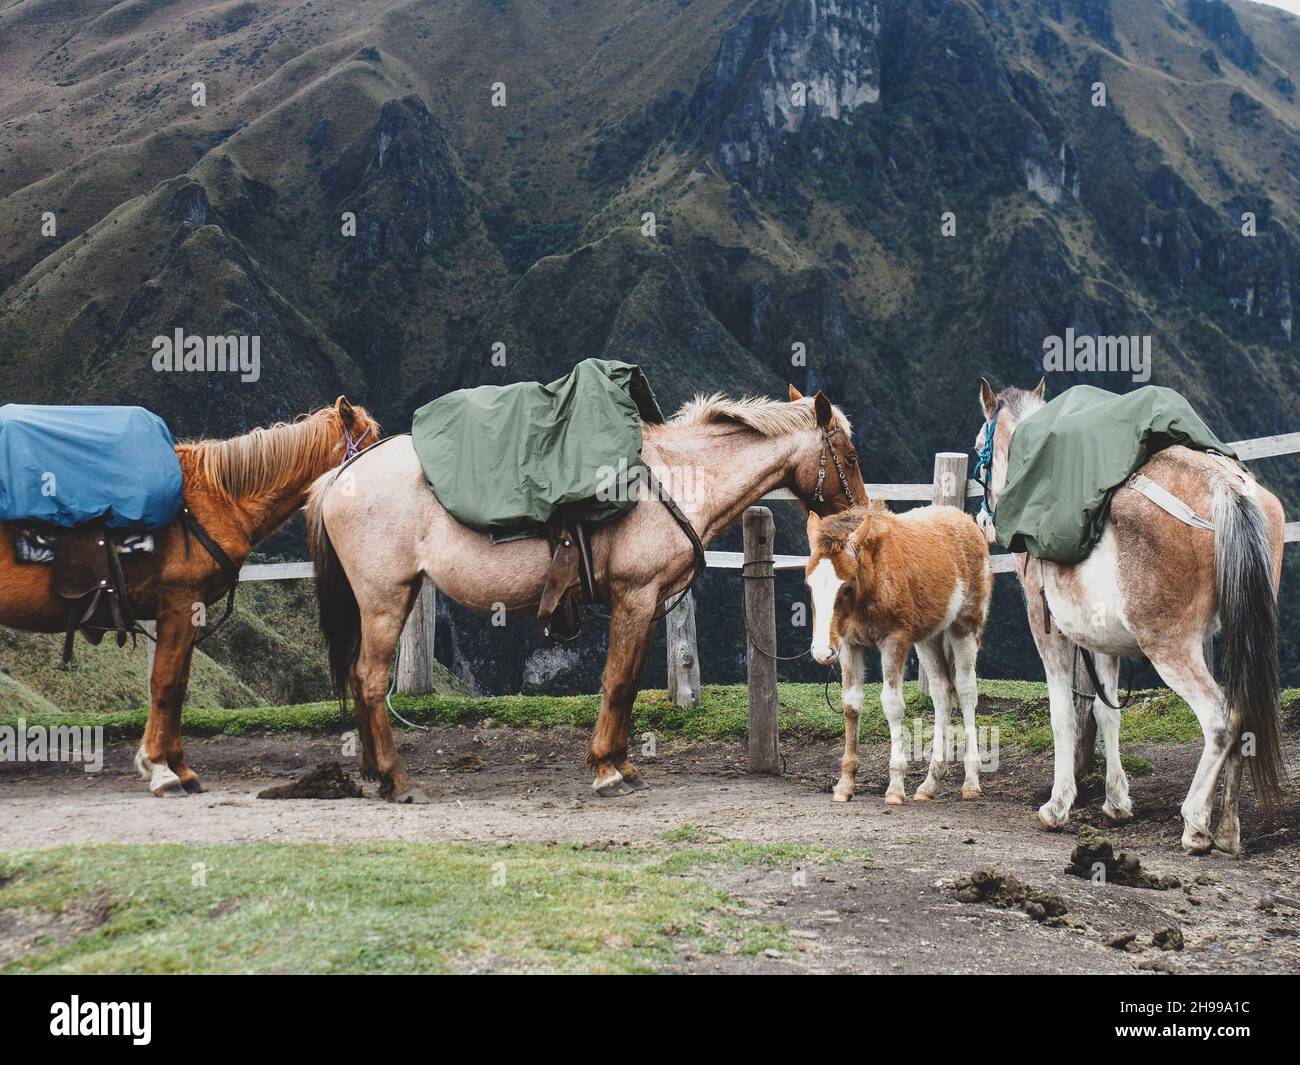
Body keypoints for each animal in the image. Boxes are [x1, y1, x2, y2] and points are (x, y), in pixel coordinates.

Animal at [0, 397, 380, 796]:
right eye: (374, 444)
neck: (217, 500)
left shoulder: (188, 611)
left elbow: (178, 686)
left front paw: (179, 767)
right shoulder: (179, 605)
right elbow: (164, 684)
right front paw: (158, 767)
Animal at [307, 385, 866, 801]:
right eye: (850, 454)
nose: (859, 518)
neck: (677, 481)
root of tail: (342, 476)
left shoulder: (646, 604)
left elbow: (630, 683)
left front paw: (623, 763)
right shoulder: (635, 598)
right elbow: (616, 682)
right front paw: (605, 769)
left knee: (359, 676)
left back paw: (374, 775)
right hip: (384, 597)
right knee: (370, 678)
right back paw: (396, 779)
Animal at [805, 503, 992, 805]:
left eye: (847, 586)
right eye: (809, 585)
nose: (822, 652)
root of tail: (967, 521)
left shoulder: (895, 640)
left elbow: (892, 705)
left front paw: (895, 787)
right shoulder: (848, 643)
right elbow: (851, 704)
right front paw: (845, 784)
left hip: (963, 628)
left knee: (965, 691)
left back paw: (971, 782)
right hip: (929, 638)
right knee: (942, 692)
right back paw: (929, 784)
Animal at [974, 378, 1286, 855]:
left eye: (979, 450)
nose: (982, 521)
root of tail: (1226, 487)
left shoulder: (1049, 632)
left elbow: (1064, 715)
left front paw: (1057, 806)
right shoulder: (1101, 641)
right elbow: (1106, 714)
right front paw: (1116, 802)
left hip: (1170, 646)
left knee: (1219, 721)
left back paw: (1197, 824)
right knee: (1242, 713)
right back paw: (1229, 830)